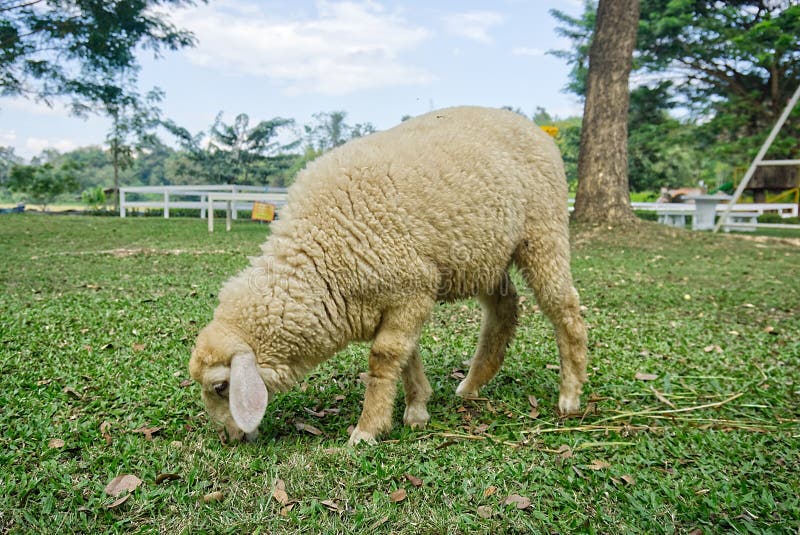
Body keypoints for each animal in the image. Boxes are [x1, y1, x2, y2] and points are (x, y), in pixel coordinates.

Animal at [189, 106, 588, 445]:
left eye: (221, 387)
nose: (227, 438)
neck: (320, 257)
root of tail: (535, 128)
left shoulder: (411, 289)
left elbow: (383, 359)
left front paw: (368, 429)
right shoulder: (397, 300)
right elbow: (406, 356)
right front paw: (417, 409)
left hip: (543, 231)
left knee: (564, 307)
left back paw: (569, 396)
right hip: (485, 256)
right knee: (505, 309)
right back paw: (473, 384)